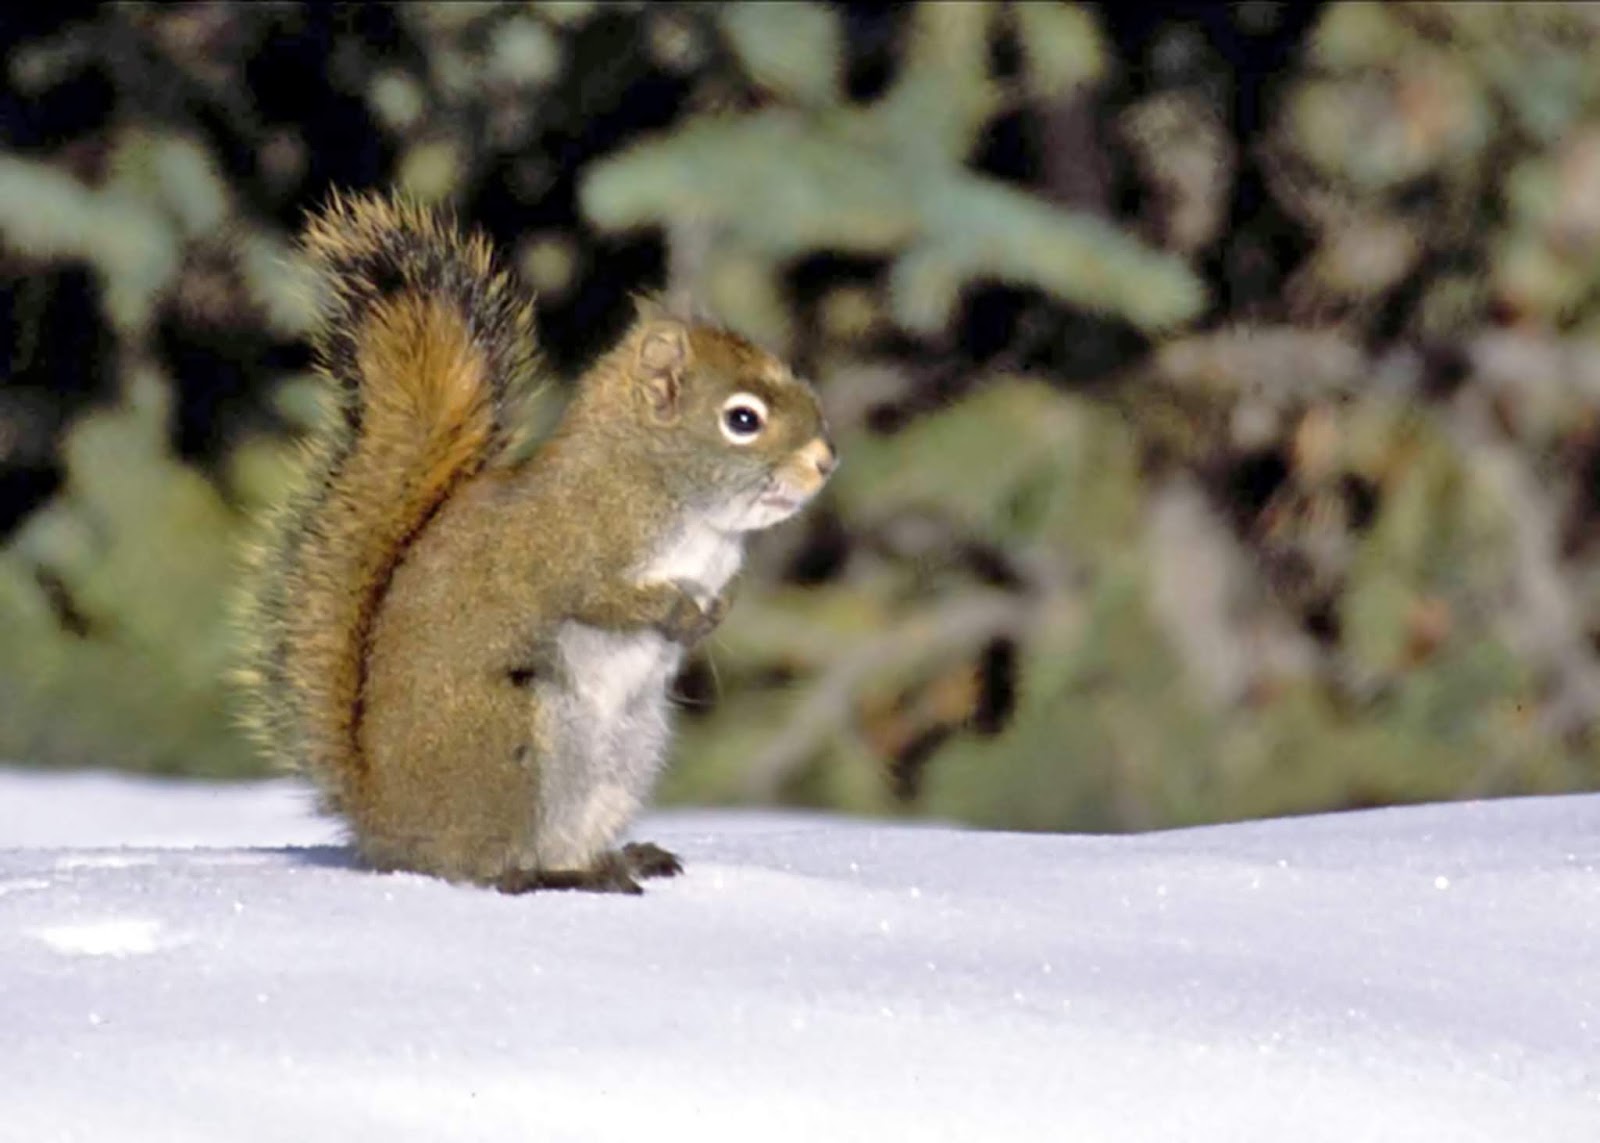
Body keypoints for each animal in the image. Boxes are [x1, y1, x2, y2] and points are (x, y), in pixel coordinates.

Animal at [235, 191, 836, 894]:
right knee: (488, 867)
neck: (681, 505)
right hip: (510, 740)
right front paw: (673, 610)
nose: (826, 462)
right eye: (742, 419)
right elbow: (599, 600)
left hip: (627, 747)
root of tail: (387, 828)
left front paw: (709, 616)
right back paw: (554, 877)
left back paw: (617, 860)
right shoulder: (570, 546)